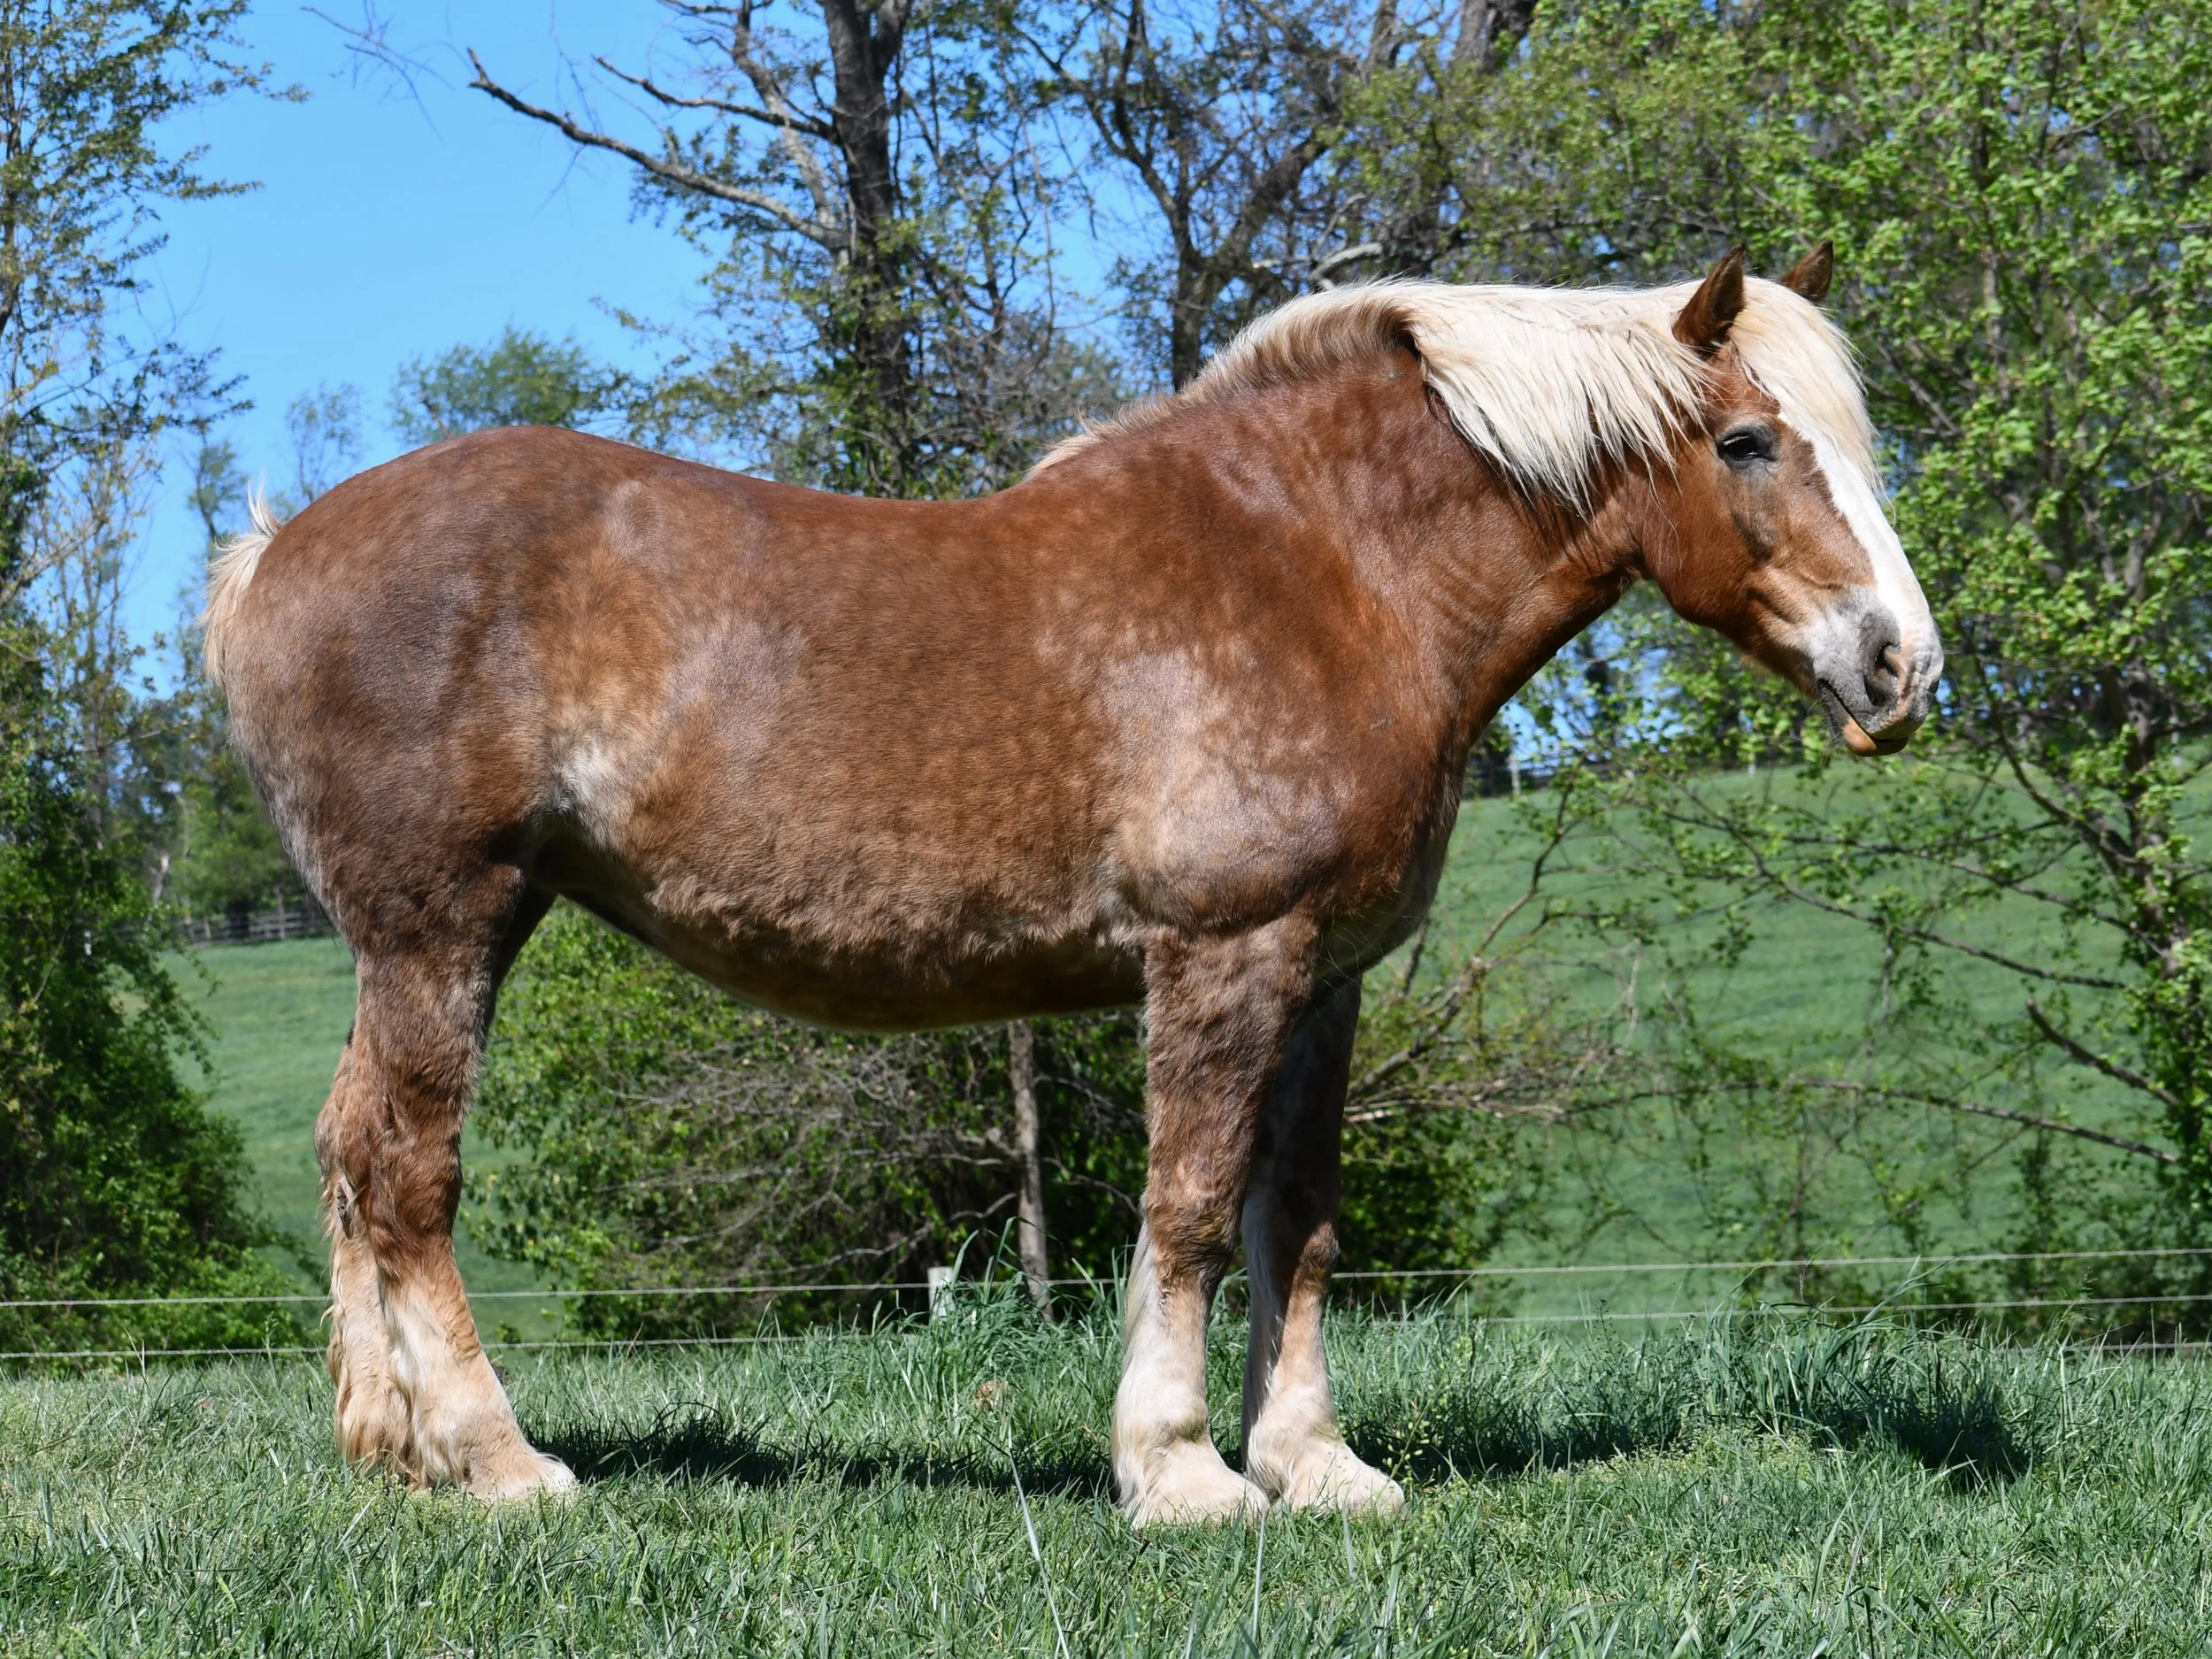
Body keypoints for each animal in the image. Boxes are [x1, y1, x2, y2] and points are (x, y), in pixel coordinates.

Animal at [203, 245, 1941, 1526]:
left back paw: (393, 1452)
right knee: (407, 1172)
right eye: (1746, 442)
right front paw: (1181, 1472)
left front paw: (1318, 1466)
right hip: (446, 923)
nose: (1902, 664)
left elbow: (1299, 1217)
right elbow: (1189, 1206)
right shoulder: (1223, 955)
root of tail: (275, 555)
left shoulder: (1324, 977)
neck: (1328, 570)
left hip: (412, 945)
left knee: (349, 1154)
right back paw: (501, 1462)